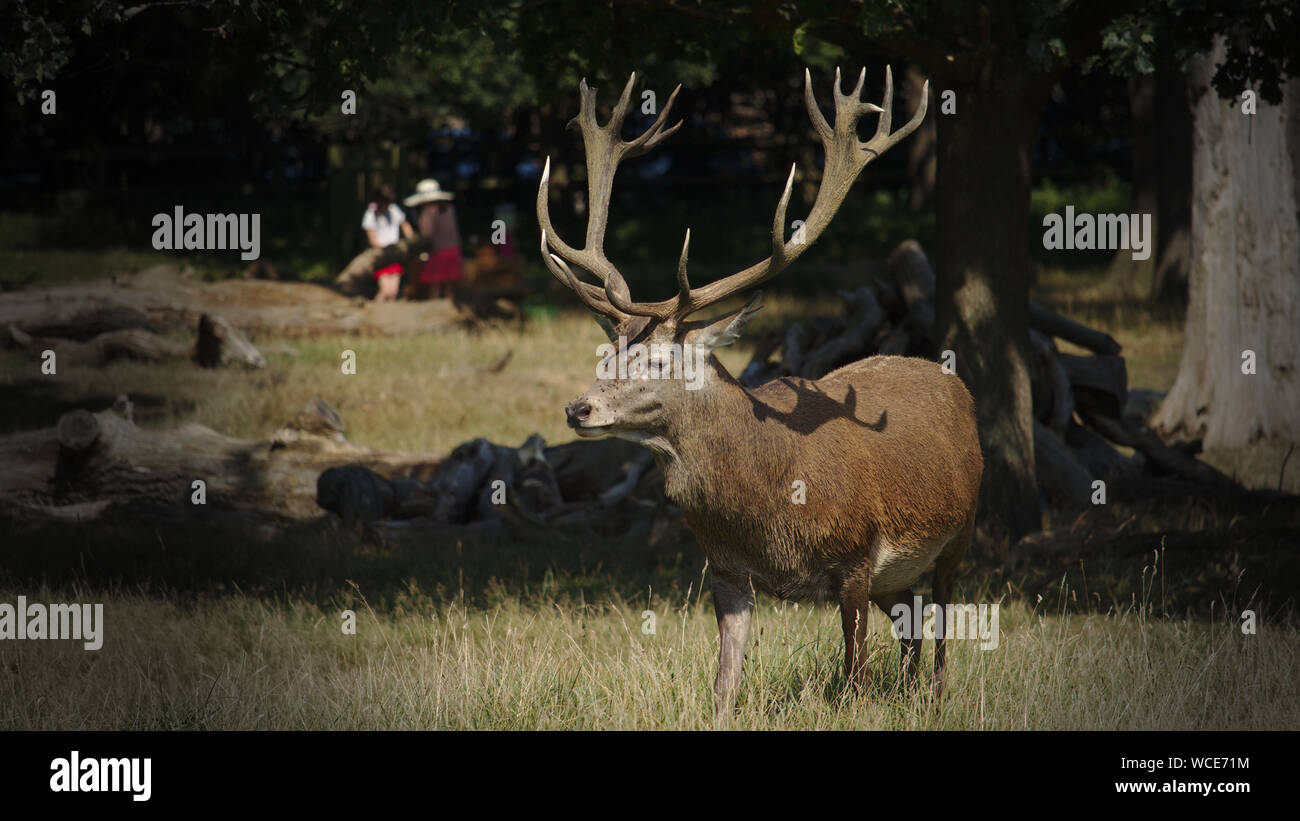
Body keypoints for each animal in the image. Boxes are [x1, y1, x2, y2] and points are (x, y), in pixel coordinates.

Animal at [537, 68, 983, 714]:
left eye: (661, 359)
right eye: (608, 353)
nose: (578, 407)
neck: (769, 501)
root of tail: (950, 378)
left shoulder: (855, 556)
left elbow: (853, 680)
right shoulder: (724, 570)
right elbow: (723, 685)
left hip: (960, 532)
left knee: (943, 619)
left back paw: (933, 699)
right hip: (896, 578)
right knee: (912, 623)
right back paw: (909, 692)